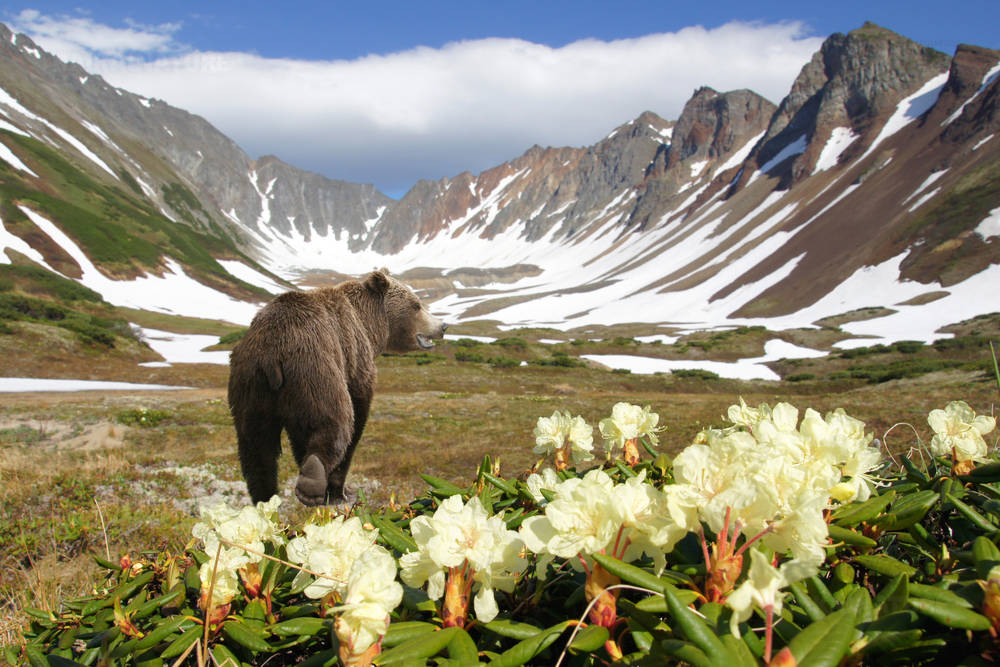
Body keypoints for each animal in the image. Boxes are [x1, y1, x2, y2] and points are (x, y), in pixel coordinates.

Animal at [228, 268, 447, 505]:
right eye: (416, 305)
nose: (443, 326)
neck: (371, 325)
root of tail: (271, 351)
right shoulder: (355, 359)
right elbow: (358, 411)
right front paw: (340, 491)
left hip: (250, 385)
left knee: (256, 447)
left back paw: (265, 497)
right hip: (315, 367)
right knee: (335, 419)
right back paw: (312, 484)